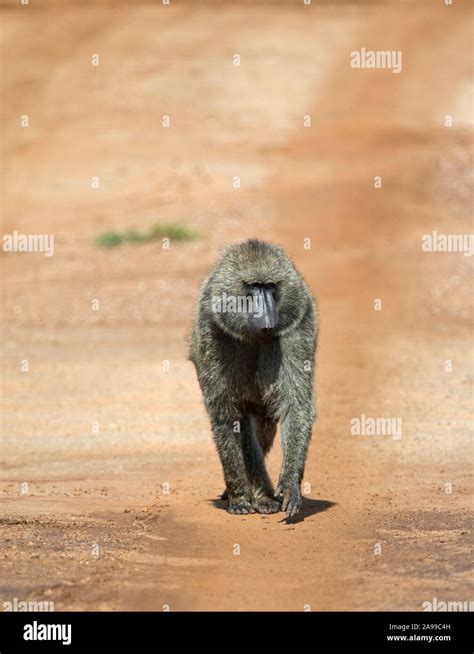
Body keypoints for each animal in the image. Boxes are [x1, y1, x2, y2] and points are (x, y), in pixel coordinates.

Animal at [190, 239, 317, 517]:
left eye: (270, 286)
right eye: (252, 286)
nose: (267, 321)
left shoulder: (298, 326)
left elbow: (295, 406)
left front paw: (290, 484)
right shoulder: (212, 329)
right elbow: (226, 414)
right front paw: (239, 497)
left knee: (265, 425)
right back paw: (256, 496)